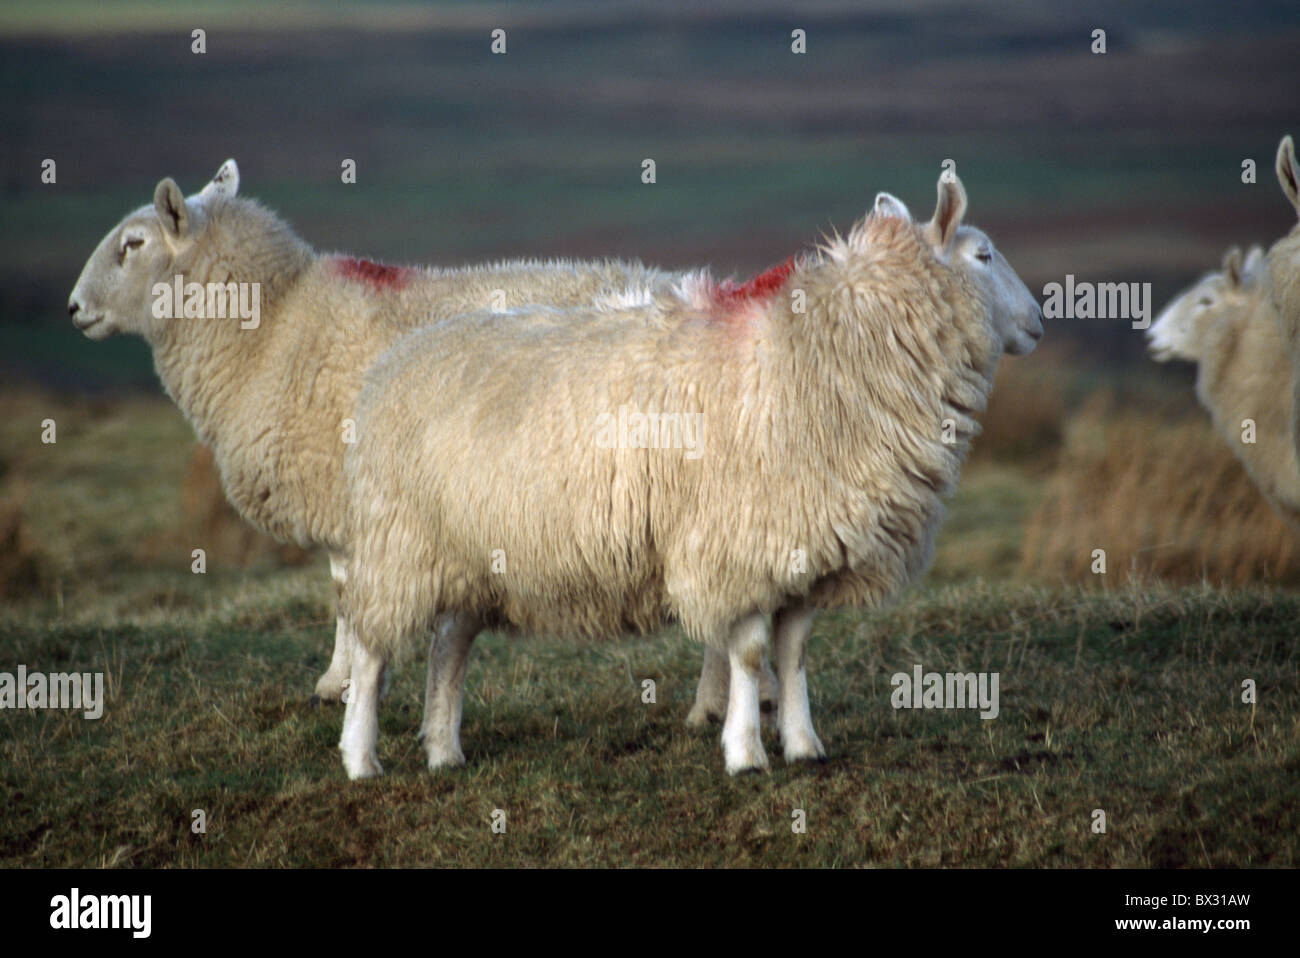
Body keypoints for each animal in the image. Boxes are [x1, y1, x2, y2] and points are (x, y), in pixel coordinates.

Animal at [66, 159, 776, 722]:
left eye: (132, 244)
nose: (73, 308)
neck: (270, 327)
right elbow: (346, 590)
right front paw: (342, 680)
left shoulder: (348, 493)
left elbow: (347, 594)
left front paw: (341, 683)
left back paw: (723, 702)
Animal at [337, 169, 1044, 778]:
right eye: (983, 256)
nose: (1040, 321)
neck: (832, 354)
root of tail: (392, 363)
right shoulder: (739, 544)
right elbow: (751, 653)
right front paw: (746, 753)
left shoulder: (800, 545)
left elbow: (793, 653)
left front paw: (804, 745)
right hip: (400, 541)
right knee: (371, 652)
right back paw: (361, 758)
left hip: (469, 552)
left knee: (448, 646)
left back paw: (443, 750)